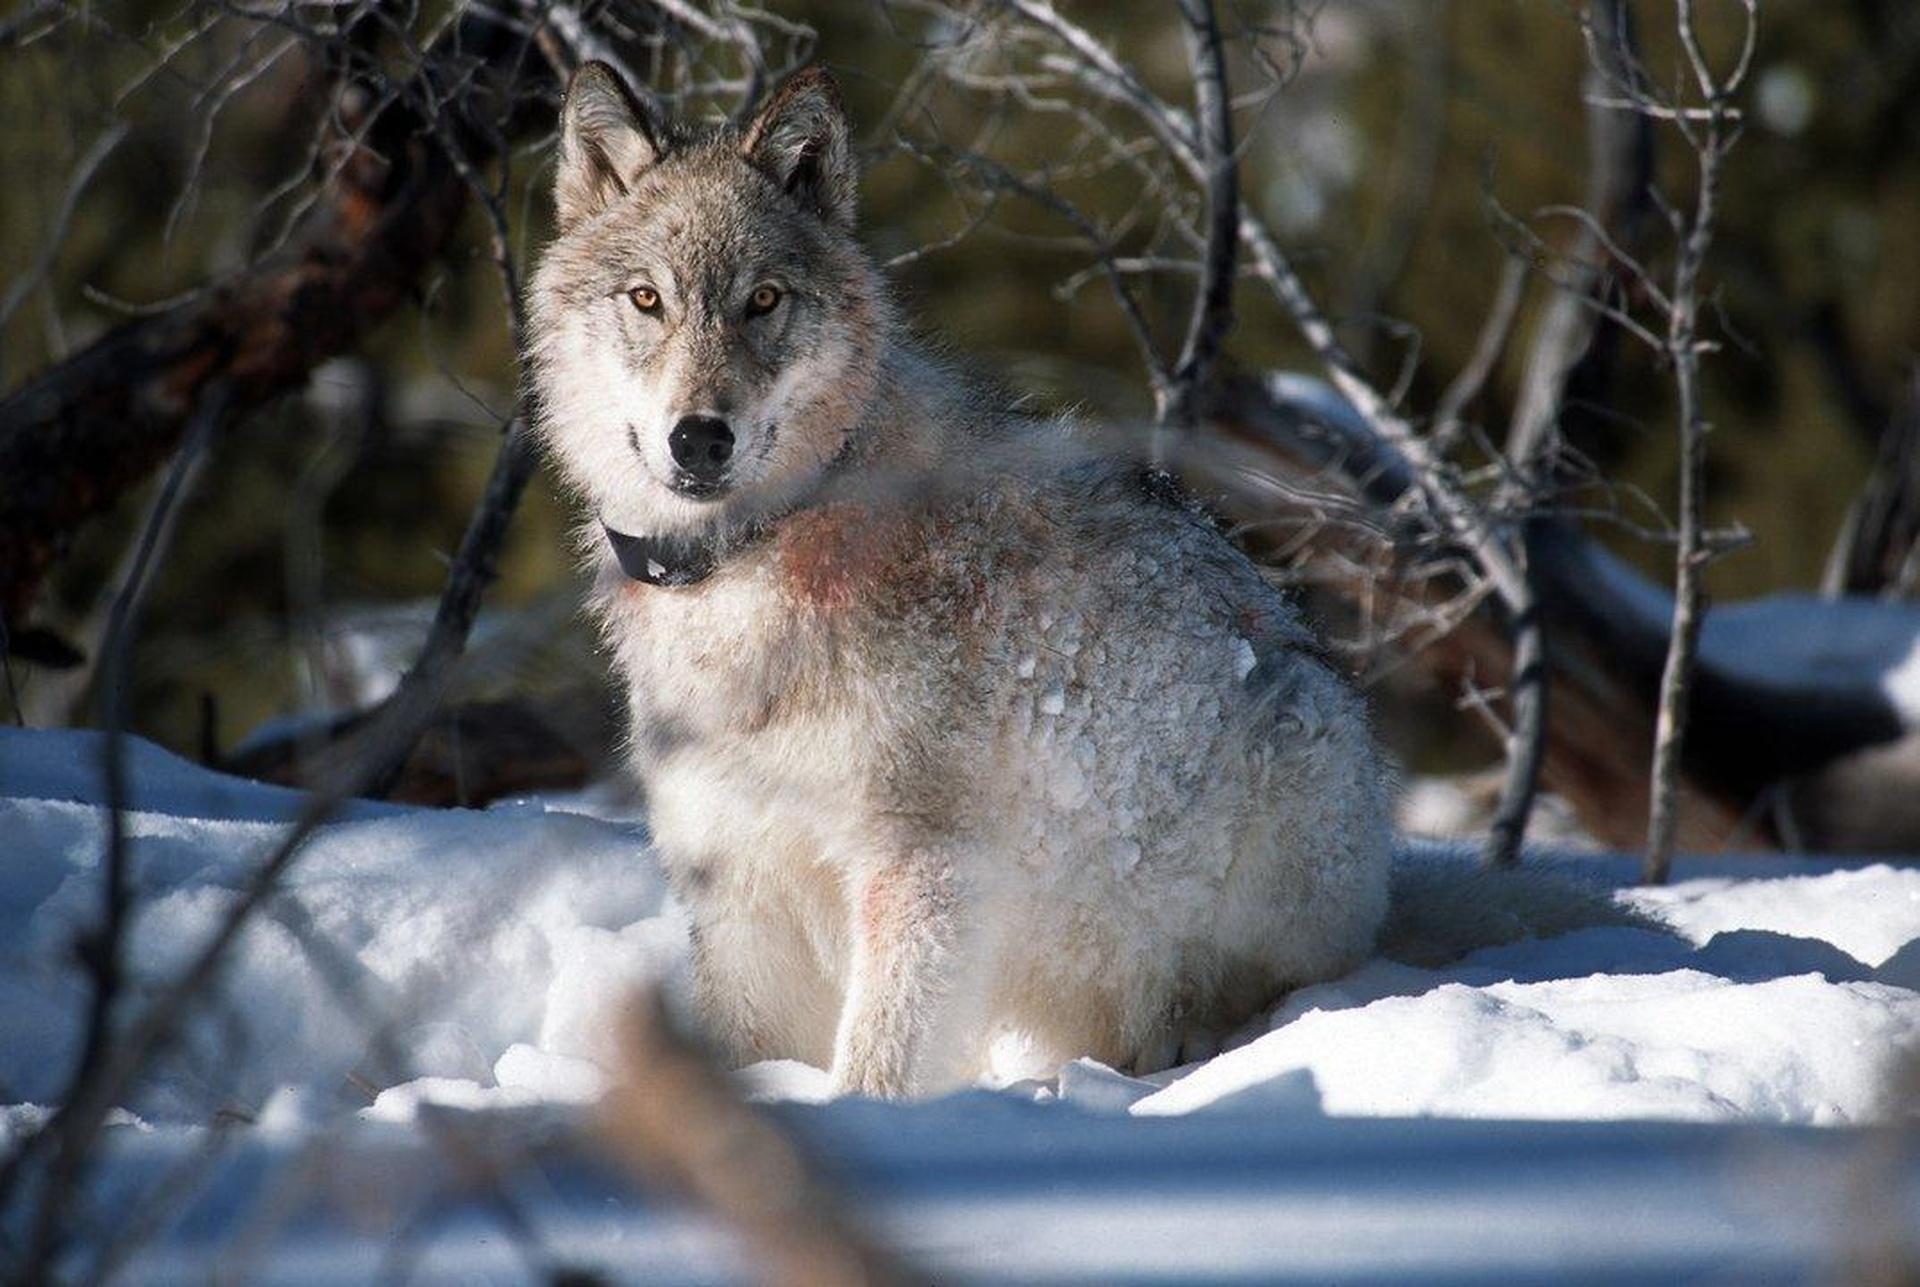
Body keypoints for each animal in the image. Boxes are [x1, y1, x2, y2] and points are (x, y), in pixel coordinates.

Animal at [526, 63, 1641, 1097]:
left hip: (1289, 746)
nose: (700, 438)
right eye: (647, 300)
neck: (753, 560)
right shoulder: (740, 888)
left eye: (762, 301)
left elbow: (878, 1067)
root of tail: (1383, 890)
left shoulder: (923, 872)